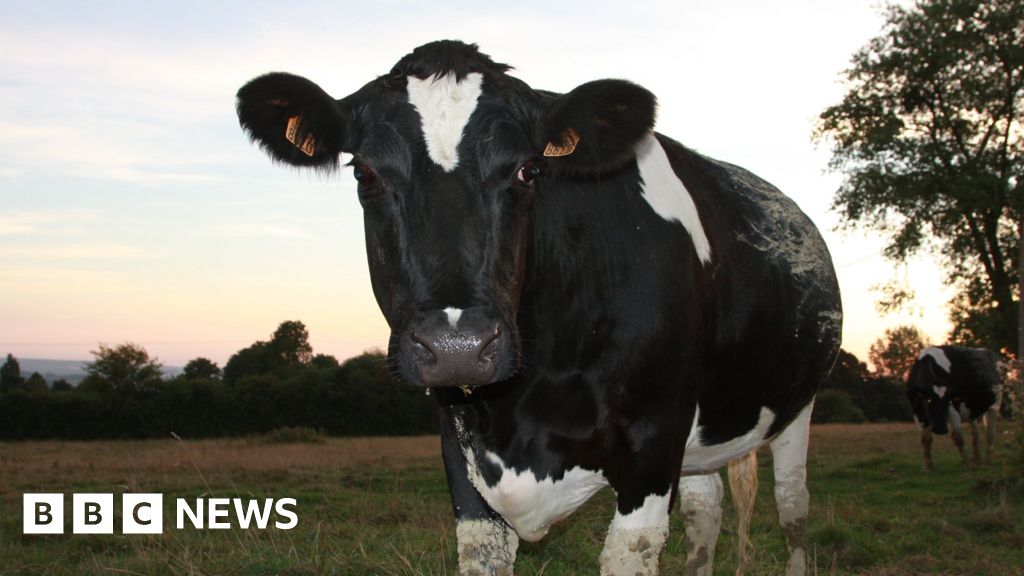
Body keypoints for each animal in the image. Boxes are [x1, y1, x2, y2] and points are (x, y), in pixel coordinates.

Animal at [236, 40, 842, 576]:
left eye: (528, 170)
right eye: (365, 173)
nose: (458, 347)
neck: (522, 408)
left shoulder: (653, 438)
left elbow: (632, 553)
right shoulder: (461, 447)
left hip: (798, 406)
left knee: (793, 507)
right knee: (705, 507)